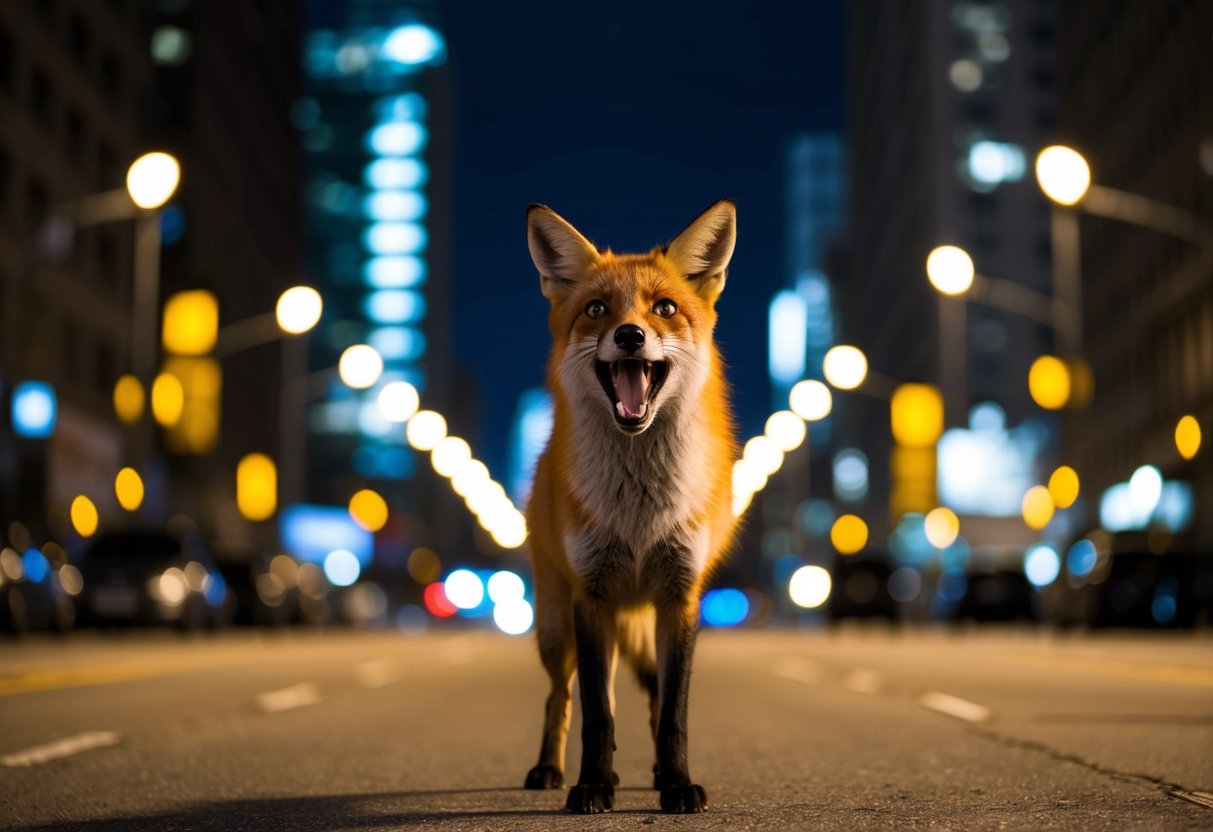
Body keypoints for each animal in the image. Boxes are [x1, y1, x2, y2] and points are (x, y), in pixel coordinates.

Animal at [522, 200, 740, 814]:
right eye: (597, 309)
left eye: (664, 307)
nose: (629, 334)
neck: (640, 516)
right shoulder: (591, 595)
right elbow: (597, 713)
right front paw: (593, 785)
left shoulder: (680, 595)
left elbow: (673, 713)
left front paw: (678, 783)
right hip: (556, 628)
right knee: (560, 697)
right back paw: (551, 769)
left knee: (650, 699)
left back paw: (658, 773)